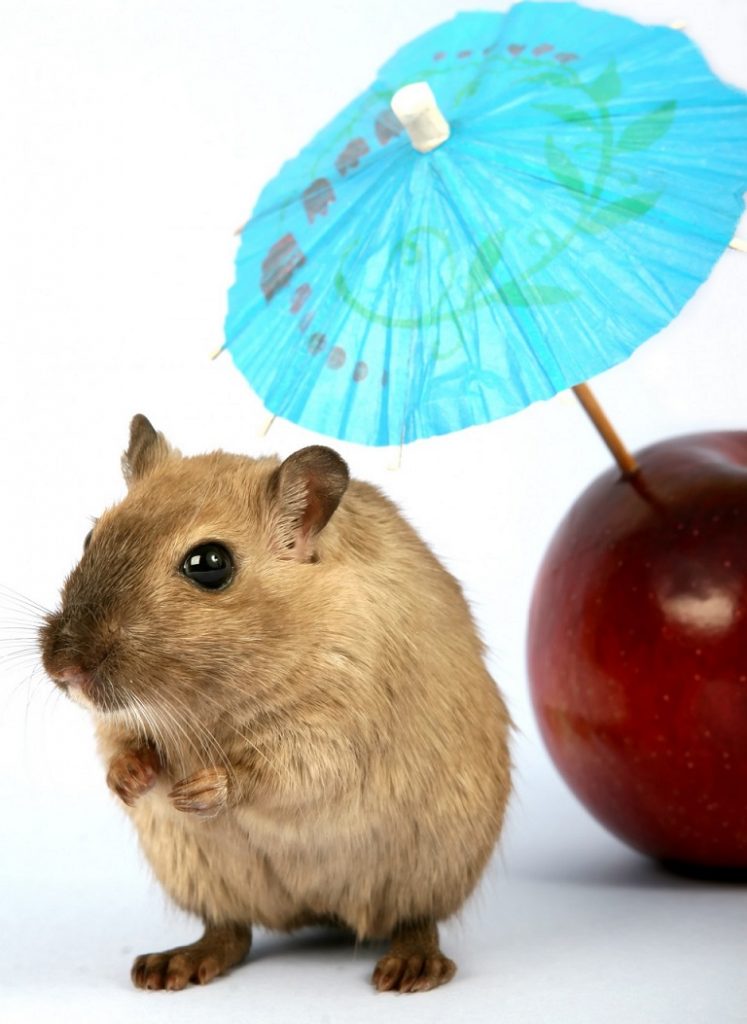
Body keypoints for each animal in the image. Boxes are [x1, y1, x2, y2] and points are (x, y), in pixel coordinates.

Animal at [40, 414, 511, 994]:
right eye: (91, 536)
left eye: (209, 564)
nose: (63, 670)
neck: (204, 701)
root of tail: (321, 912)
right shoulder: (120, 722)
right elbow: (120, 744)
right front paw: (131, 782)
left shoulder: (335, 733)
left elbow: (278, 773)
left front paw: (198, 790)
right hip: (203, 877)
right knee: (231, 932)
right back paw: (172, 964)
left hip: (431, 868)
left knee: (415, 920)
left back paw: (411, 966)